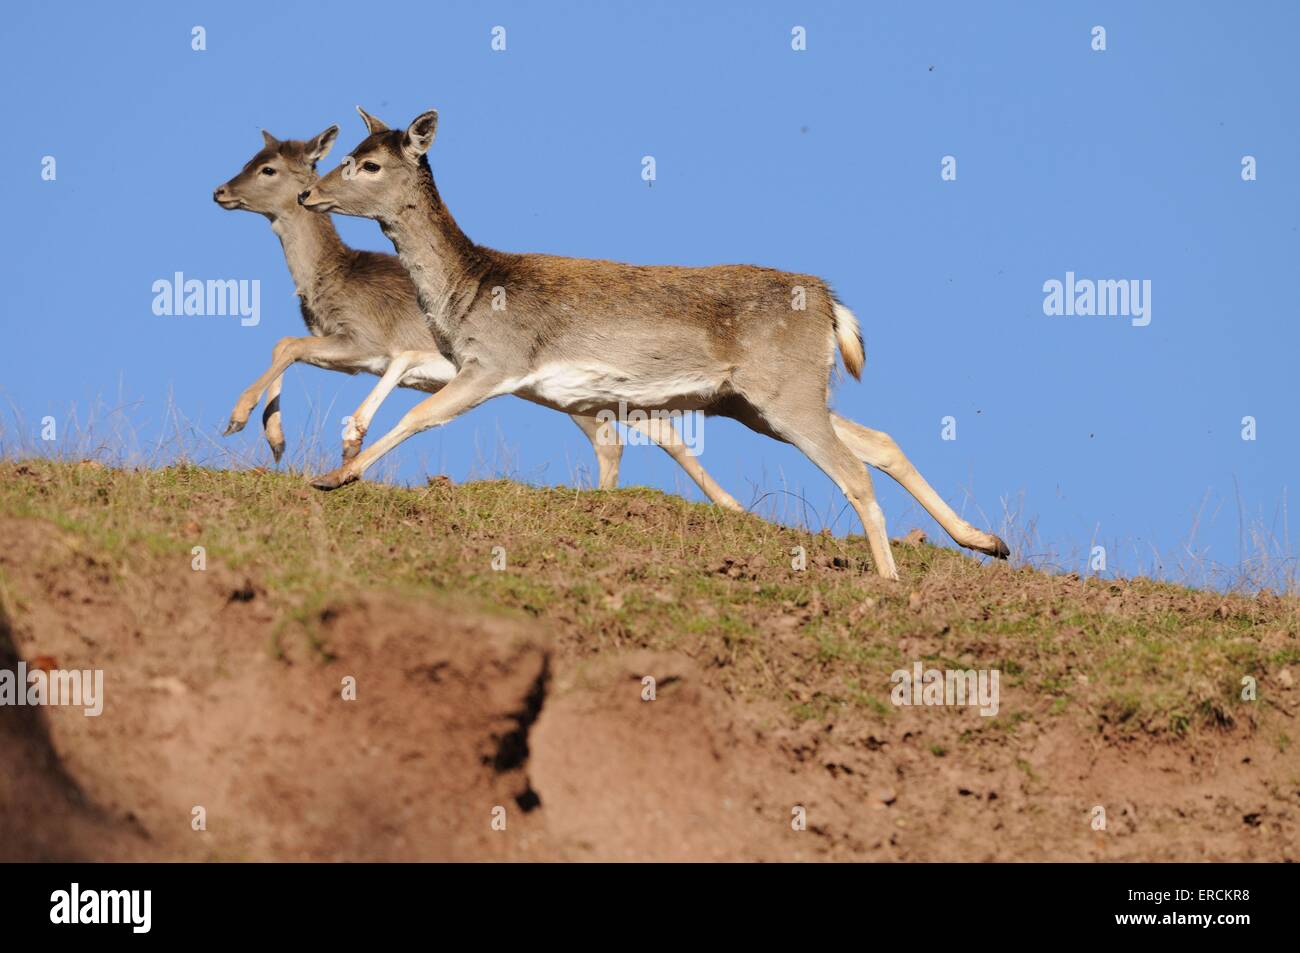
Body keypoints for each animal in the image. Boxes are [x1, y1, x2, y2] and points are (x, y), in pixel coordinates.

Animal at [212, 126, 743, 509]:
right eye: (252, 159)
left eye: (267, 168)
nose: (219, 191)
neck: (332, 275)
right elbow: (291, 348)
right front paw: (286, 444)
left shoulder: (368, 342)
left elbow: (291, 346)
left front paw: (248, 425)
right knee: (650, 435)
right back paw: (727, 505)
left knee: (634, 439)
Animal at [298, 108, 1011, 580]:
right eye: (345, 152)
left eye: (370, 163)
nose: (308, 191)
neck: (469, 289)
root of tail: (831, 303)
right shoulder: (556, 391)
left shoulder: (497, 362)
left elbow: (418, 416)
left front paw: (335, 476)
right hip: (754, 401)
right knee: (879, 442)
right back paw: (987, 542)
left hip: (781, 391)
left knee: (853, 470)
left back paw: (890, 579)